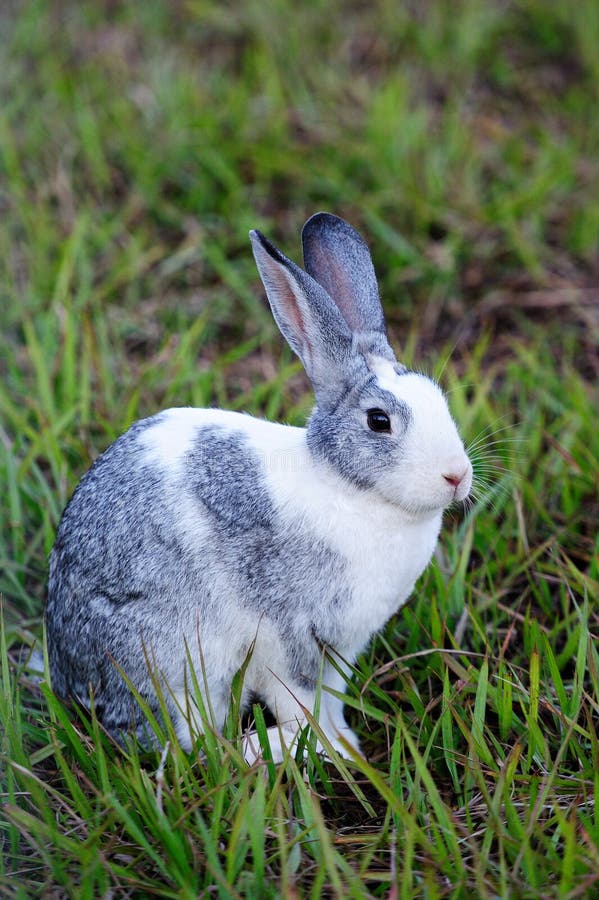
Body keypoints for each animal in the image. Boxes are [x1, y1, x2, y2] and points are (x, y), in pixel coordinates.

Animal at [46, 212, 472, 763]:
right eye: (379, 421)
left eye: (439, 397)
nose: (457, 476)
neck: (346, 486)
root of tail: (70, 678)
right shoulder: (289, 635)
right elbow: (299, 698)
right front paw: (321, 748)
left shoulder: (340, 649)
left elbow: (330, 698)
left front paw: (344, 743)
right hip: (176, 661)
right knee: (190, 740)